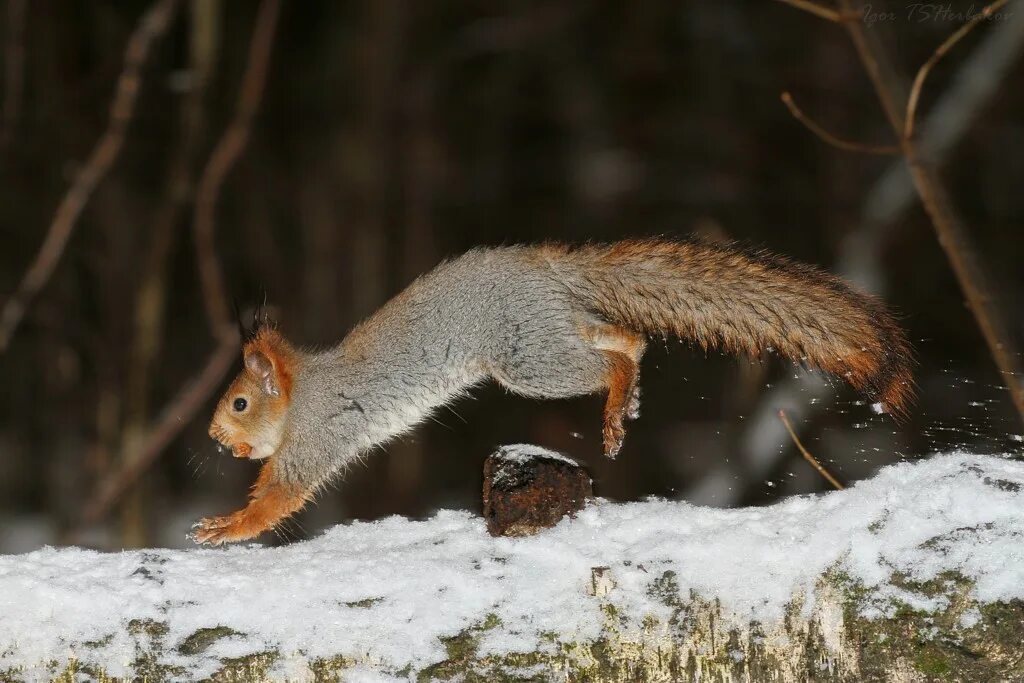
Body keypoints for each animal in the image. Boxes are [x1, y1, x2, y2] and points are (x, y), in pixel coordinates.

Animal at [190, 237, 913, 548]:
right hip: (551, 332)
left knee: (604, 361)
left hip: (526, 356)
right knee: (628, 339)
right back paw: (629, 393)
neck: (301, 393)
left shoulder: (318, 434)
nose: (215, 439)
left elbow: (280, 497)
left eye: (240, 403)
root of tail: (546, 268)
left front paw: (225, 526)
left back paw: (616, 405)